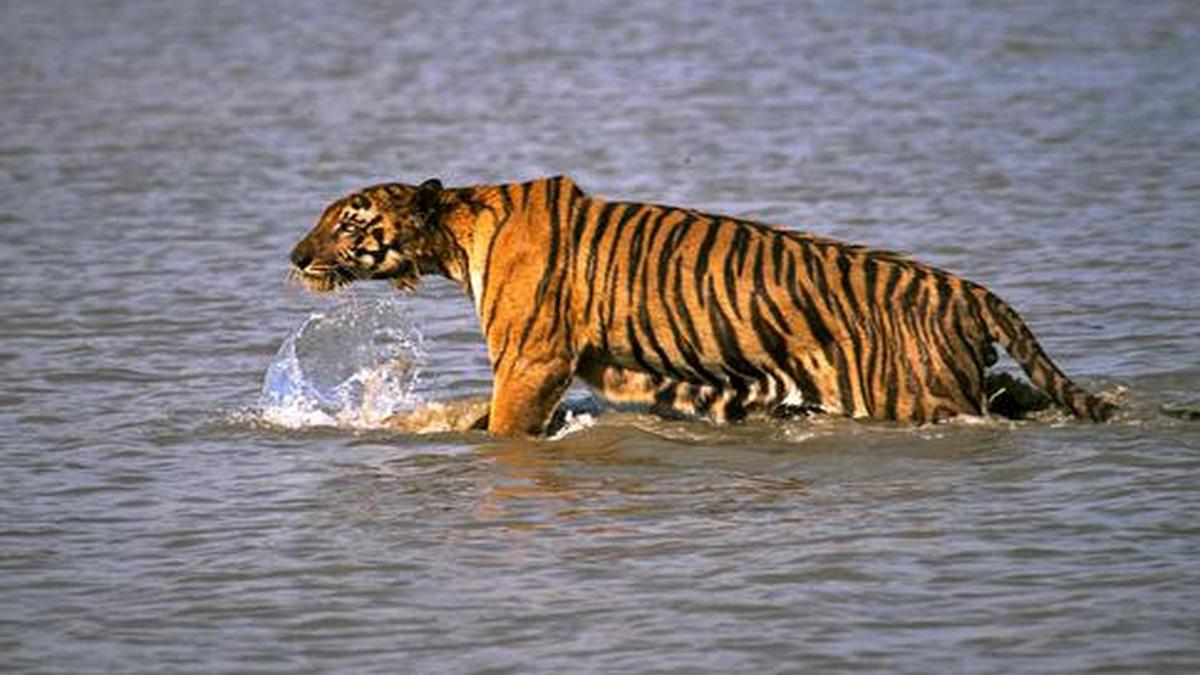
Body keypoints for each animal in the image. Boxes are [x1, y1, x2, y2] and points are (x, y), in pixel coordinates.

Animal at [288, 175, 1114, 436]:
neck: (457, 235)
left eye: (349, 220)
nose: (296, 256)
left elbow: (504, 426)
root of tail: (971, 288)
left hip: (911, 393)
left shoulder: (531, 358)